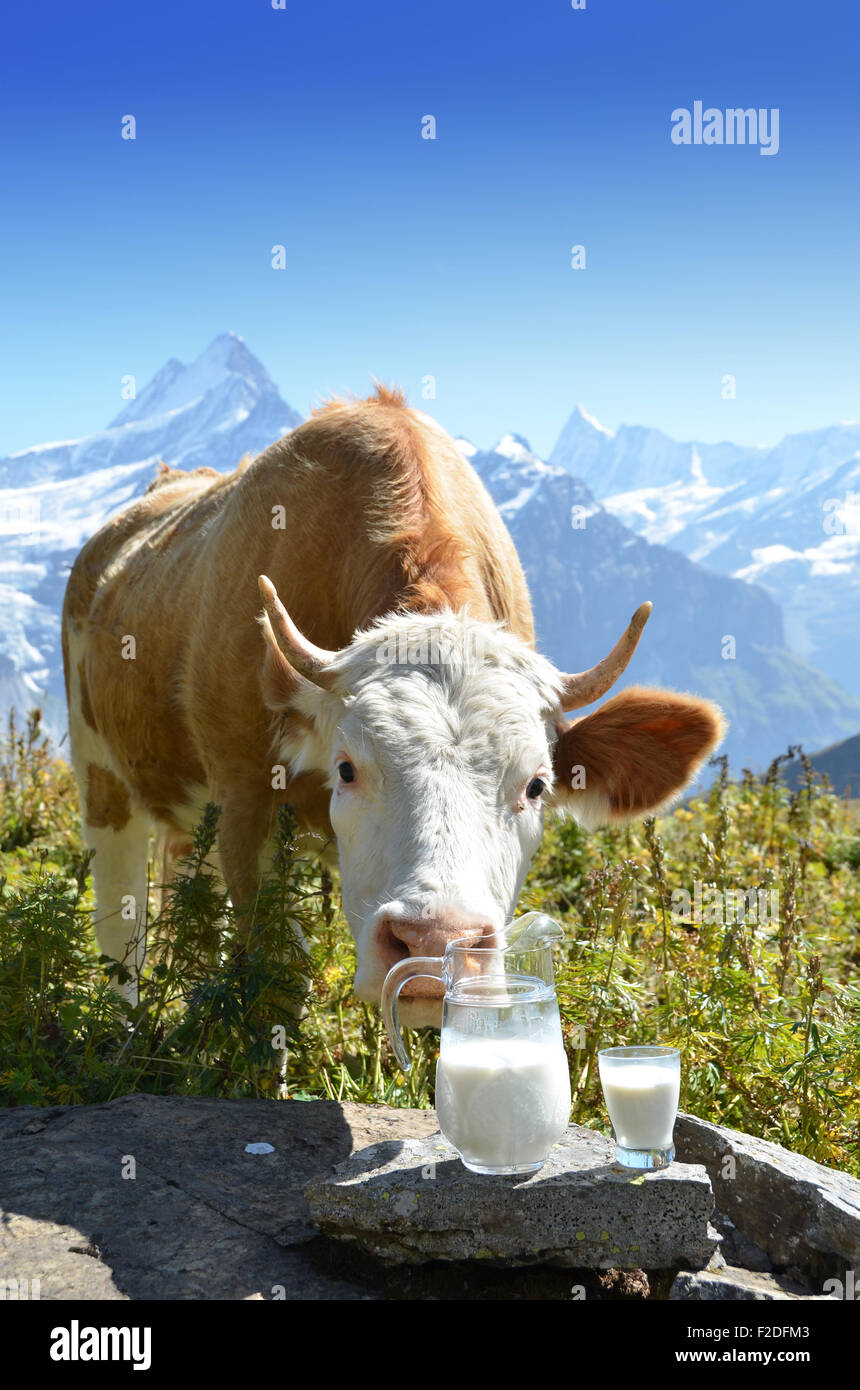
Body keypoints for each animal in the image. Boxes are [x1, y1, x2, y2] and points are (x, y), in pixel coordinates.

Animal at [62, 385, 725, 1026]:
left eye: (537, 785)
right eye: (347, 769)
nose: (433, 942)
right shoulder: (245, 803)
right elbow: (277, 976)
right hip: (102, 780)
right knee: (121, 920)